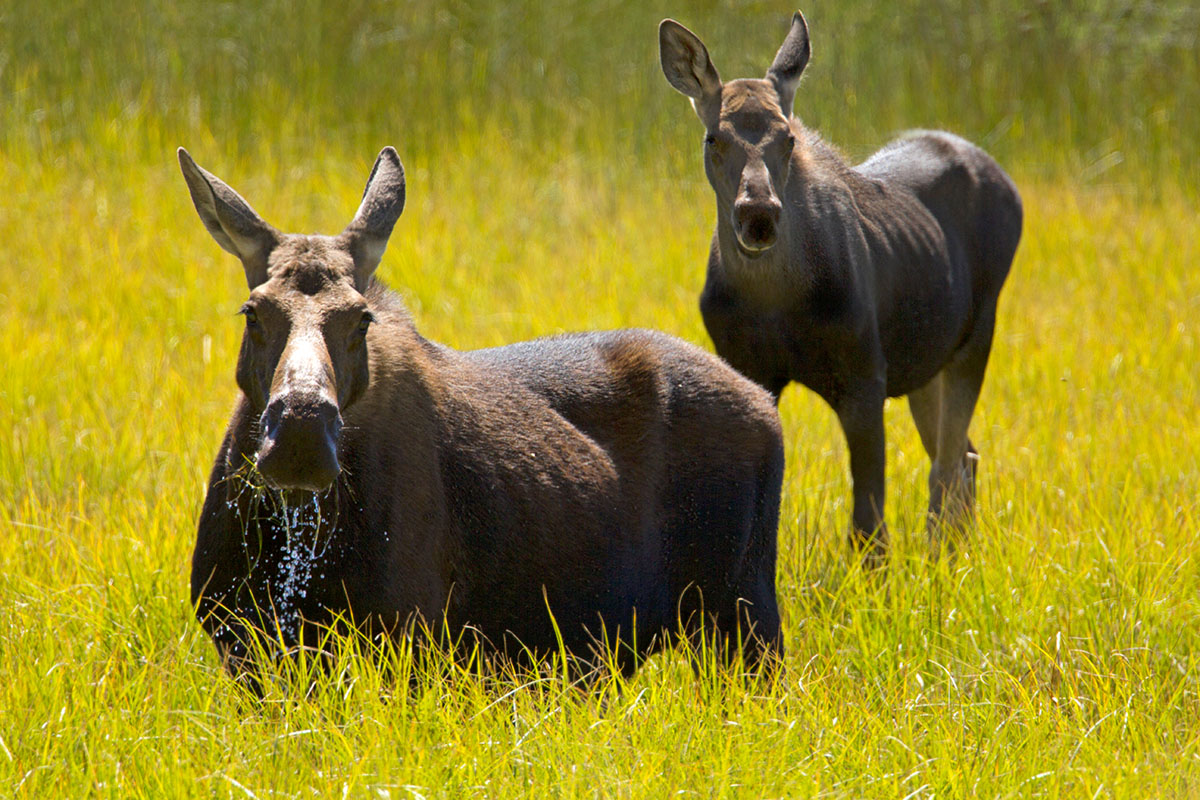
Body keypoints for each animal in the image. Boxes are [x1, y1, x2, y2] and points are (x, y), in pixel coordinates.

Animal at [179, 146, 785, 683]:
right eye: (252, 312)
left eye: (361, 318)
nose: (300, 435)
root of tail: (765, 403)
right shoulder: (239, 638)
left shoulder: (408, 631)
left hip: (745, 611)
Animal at [659, 11, 1023, 563]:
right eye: (712, 139)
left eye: (788, 138)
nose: (758, 215)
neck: (774, 300)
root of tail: (1012, 187)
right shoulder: (750, 364)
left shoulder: (864, 374)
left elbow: (869, 519)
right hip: (925, 360)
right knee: (966, 454)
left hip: (977, 333)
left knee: (947, 465)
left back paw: (945, 556)